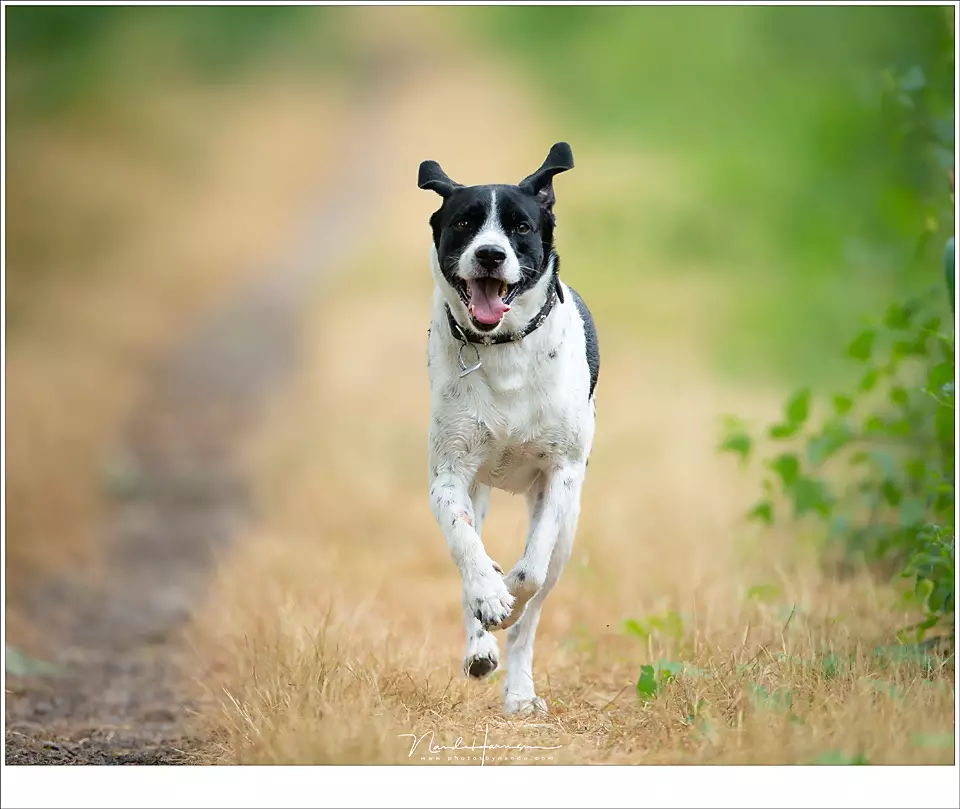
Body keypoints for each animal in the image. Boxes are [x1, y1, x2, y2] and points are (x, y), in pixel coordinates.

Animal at [420, 142, 600, 712]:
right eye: (465, 222)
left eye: (521, 226)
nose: (490, 255)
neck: (503, 348)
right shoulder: (449, 477)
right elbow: (465, 546)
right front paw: (488, 595)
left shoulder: (561, 473)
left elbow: (531, 571)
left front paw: (511, 598)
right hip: (478, 490)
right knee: (469, 556)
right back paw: (481, 642)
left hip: (569, 524)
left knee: (534, 609)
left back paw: (520, 690)